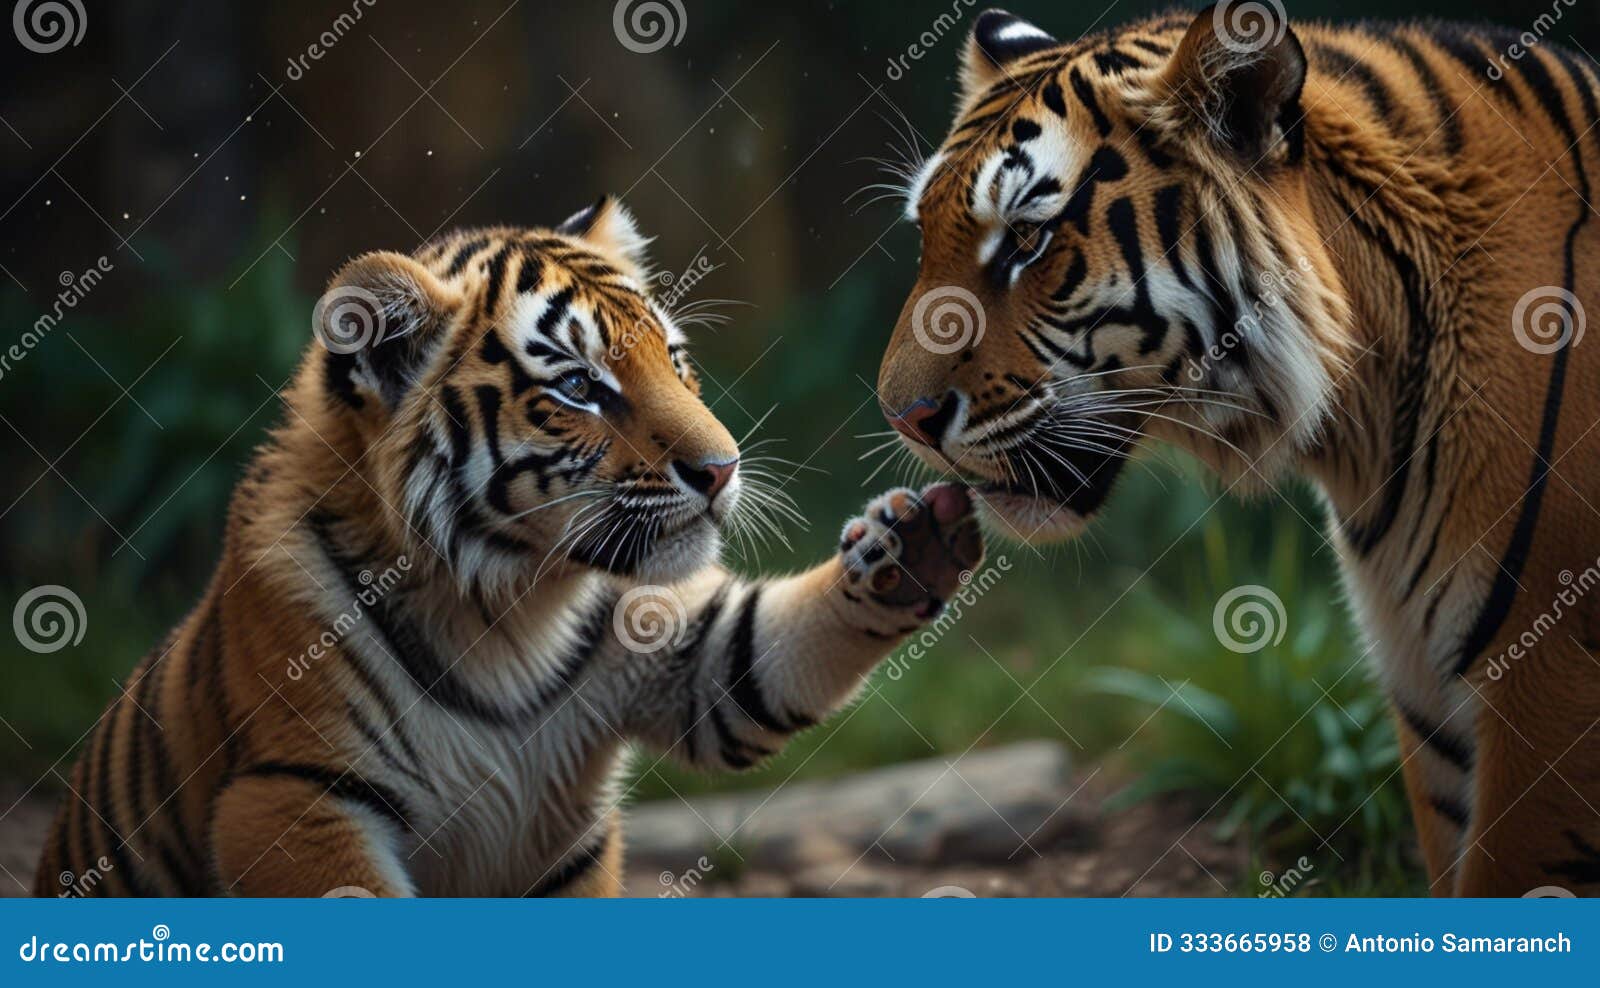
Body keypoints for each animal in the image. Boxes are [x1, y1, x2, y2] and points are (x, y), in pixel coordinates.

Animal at [33, 196, 983, 897]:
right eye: (580, 387)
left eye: (674, 359)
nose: (722, 469)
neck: (509, 606)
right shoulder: (293, 796)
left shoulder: (687, 662)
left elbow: (762, 650)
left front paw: (915, 538)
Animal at [874, 5, 1600, 895]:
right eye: (926, 235)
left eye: (1027, 240)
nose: (902, 417)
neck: (1365, 426)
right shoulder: (1426, 688)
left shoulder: (1548, 686)